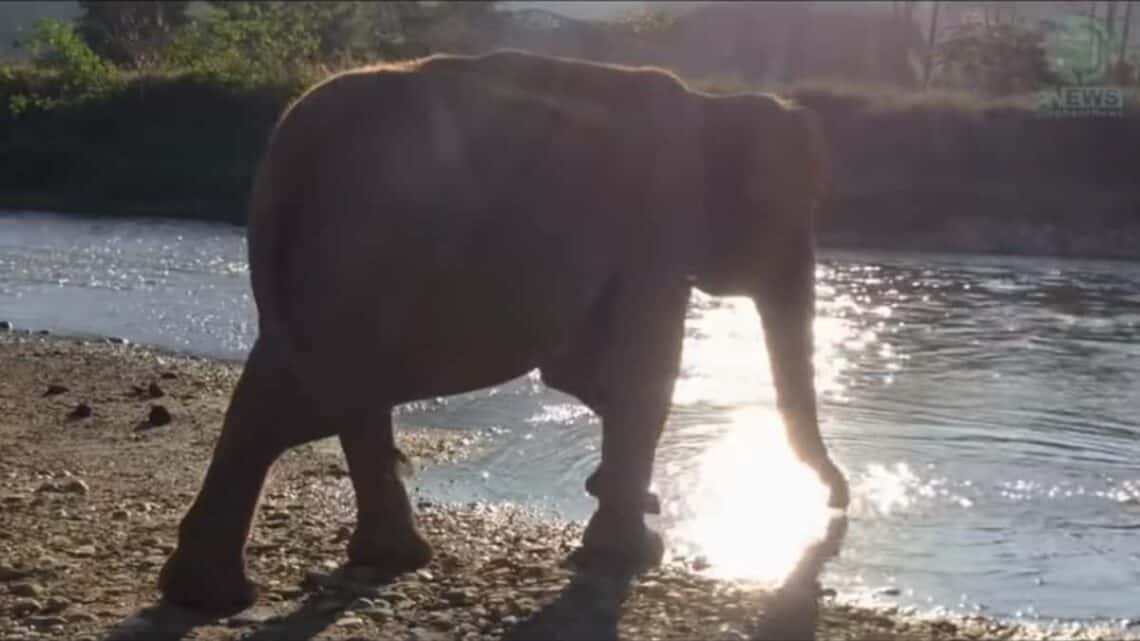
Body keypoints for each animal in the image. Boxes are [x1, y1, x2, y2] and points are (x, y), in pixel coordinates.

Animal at [158, 49, 849, 611]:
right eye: (797, 212)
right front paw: (632, 555)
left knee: (292, 403)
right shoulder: (656, 230)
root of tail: (289, 146)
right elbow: (640, 371)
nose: (839, 502)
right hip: (363, 269)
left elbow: (594, 373)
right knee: (309, 403)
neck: (714, 103)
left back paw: (243, 588)